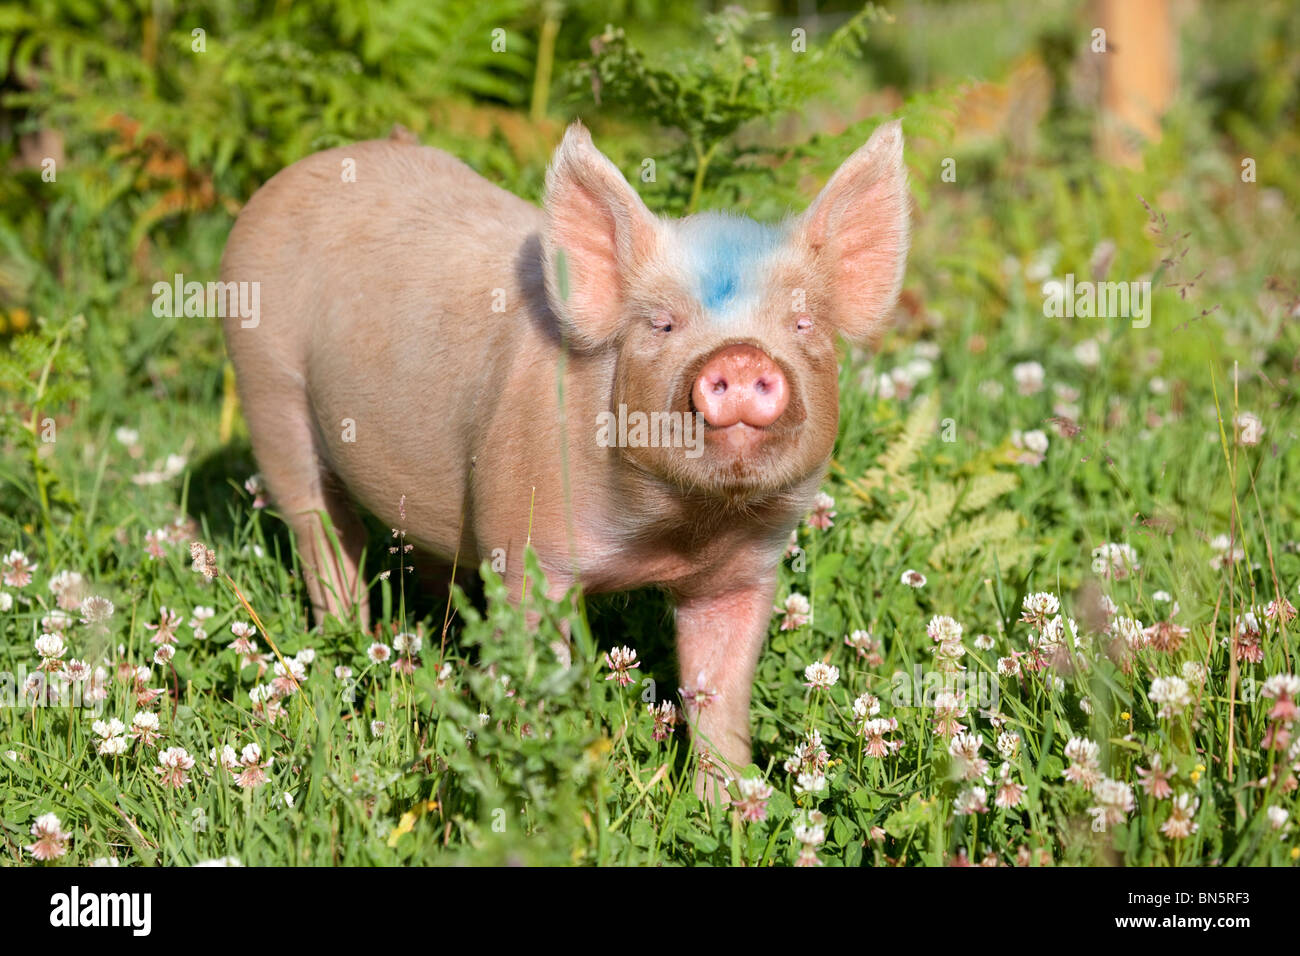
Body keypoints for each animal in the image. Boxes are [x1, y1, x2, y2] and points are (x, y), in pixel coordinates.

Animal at [220, 119, 909, 793]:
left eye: (803, 324)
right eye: (661, 324)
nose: (740, 356)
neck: (679, 531)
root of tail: (286, 179)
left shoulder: (746, 569)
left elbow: (719, 692)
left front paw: (735, 806)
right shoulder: (525, 540)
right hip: (267, 387)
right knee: (322, 529)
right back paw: (346, 637)